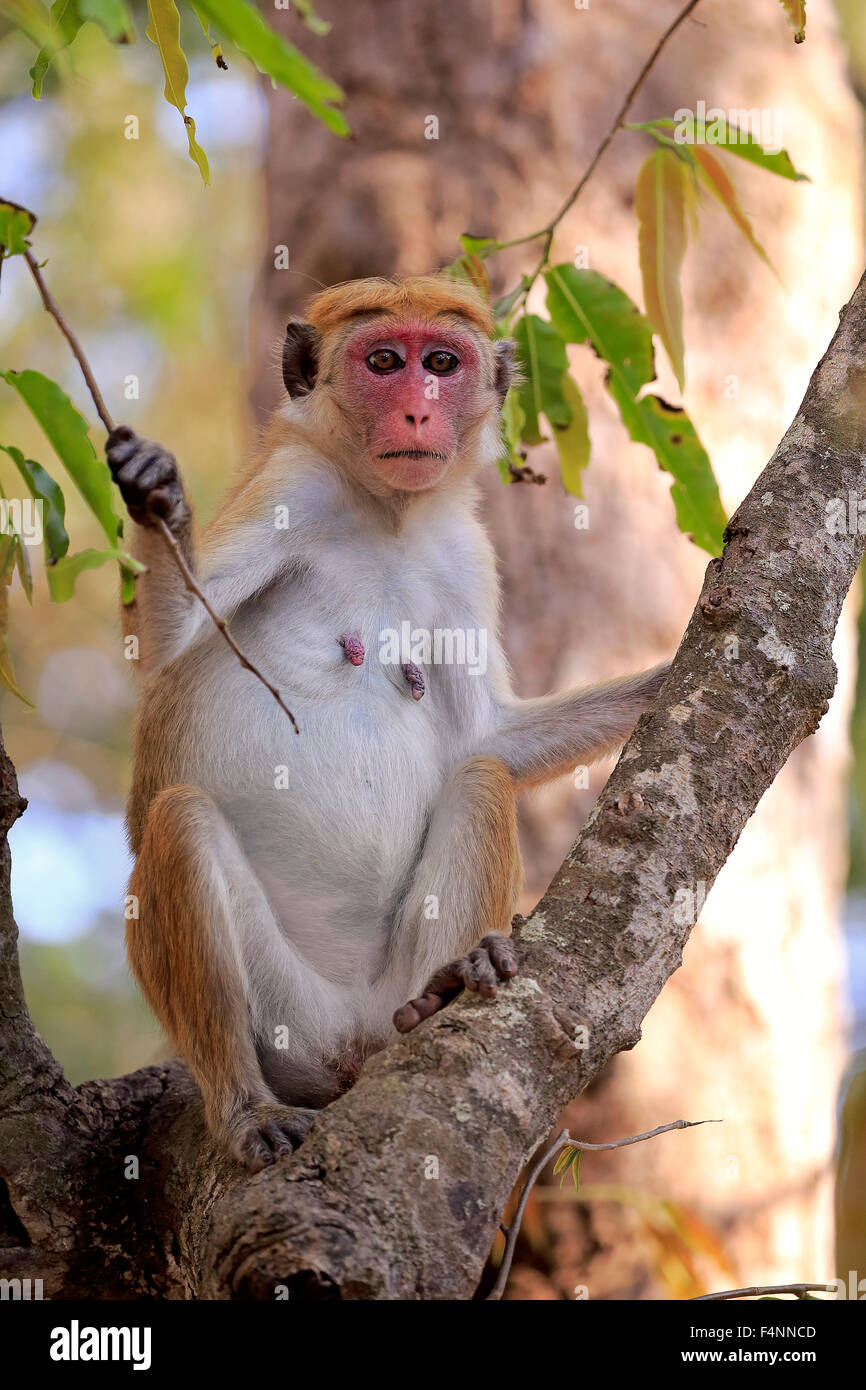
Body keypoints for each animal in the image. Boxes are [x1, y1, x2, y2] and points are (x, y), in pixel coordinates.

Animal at [106, 274, 669, 1171]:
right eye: (383, 363)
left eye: (440, 362)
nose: (415, 411)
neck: (386, 514)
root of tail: (354, 1040)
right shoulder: (290, 490)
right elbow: (165, 648)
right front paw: (154, 489)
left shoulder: (462, 549)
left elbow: (486, 741)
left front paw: (673, 671)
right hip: (290, 1020)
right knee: (179, 821)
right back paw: (243, 1106)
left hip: (385, 990)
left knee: (482, 780)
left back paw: (447, 986)